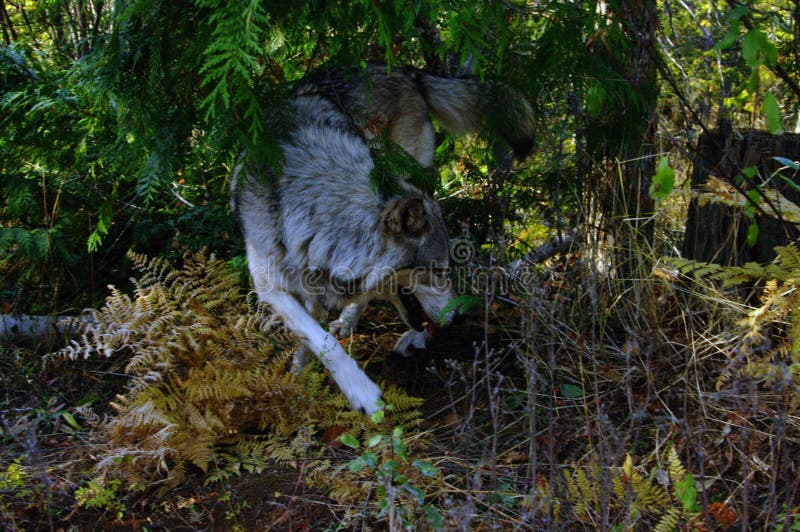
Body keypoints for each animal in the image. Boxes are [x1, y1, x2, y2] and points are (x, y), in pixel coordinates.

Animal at [232, 65, 534, 414]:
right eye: (438, 271)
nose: (459, 317)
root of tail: (406, 71)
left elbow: (324, 333)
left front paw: (358, 392)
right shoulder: (272, 287)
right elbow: (317, 336)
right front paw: (308, 373)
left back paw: (403, 337)